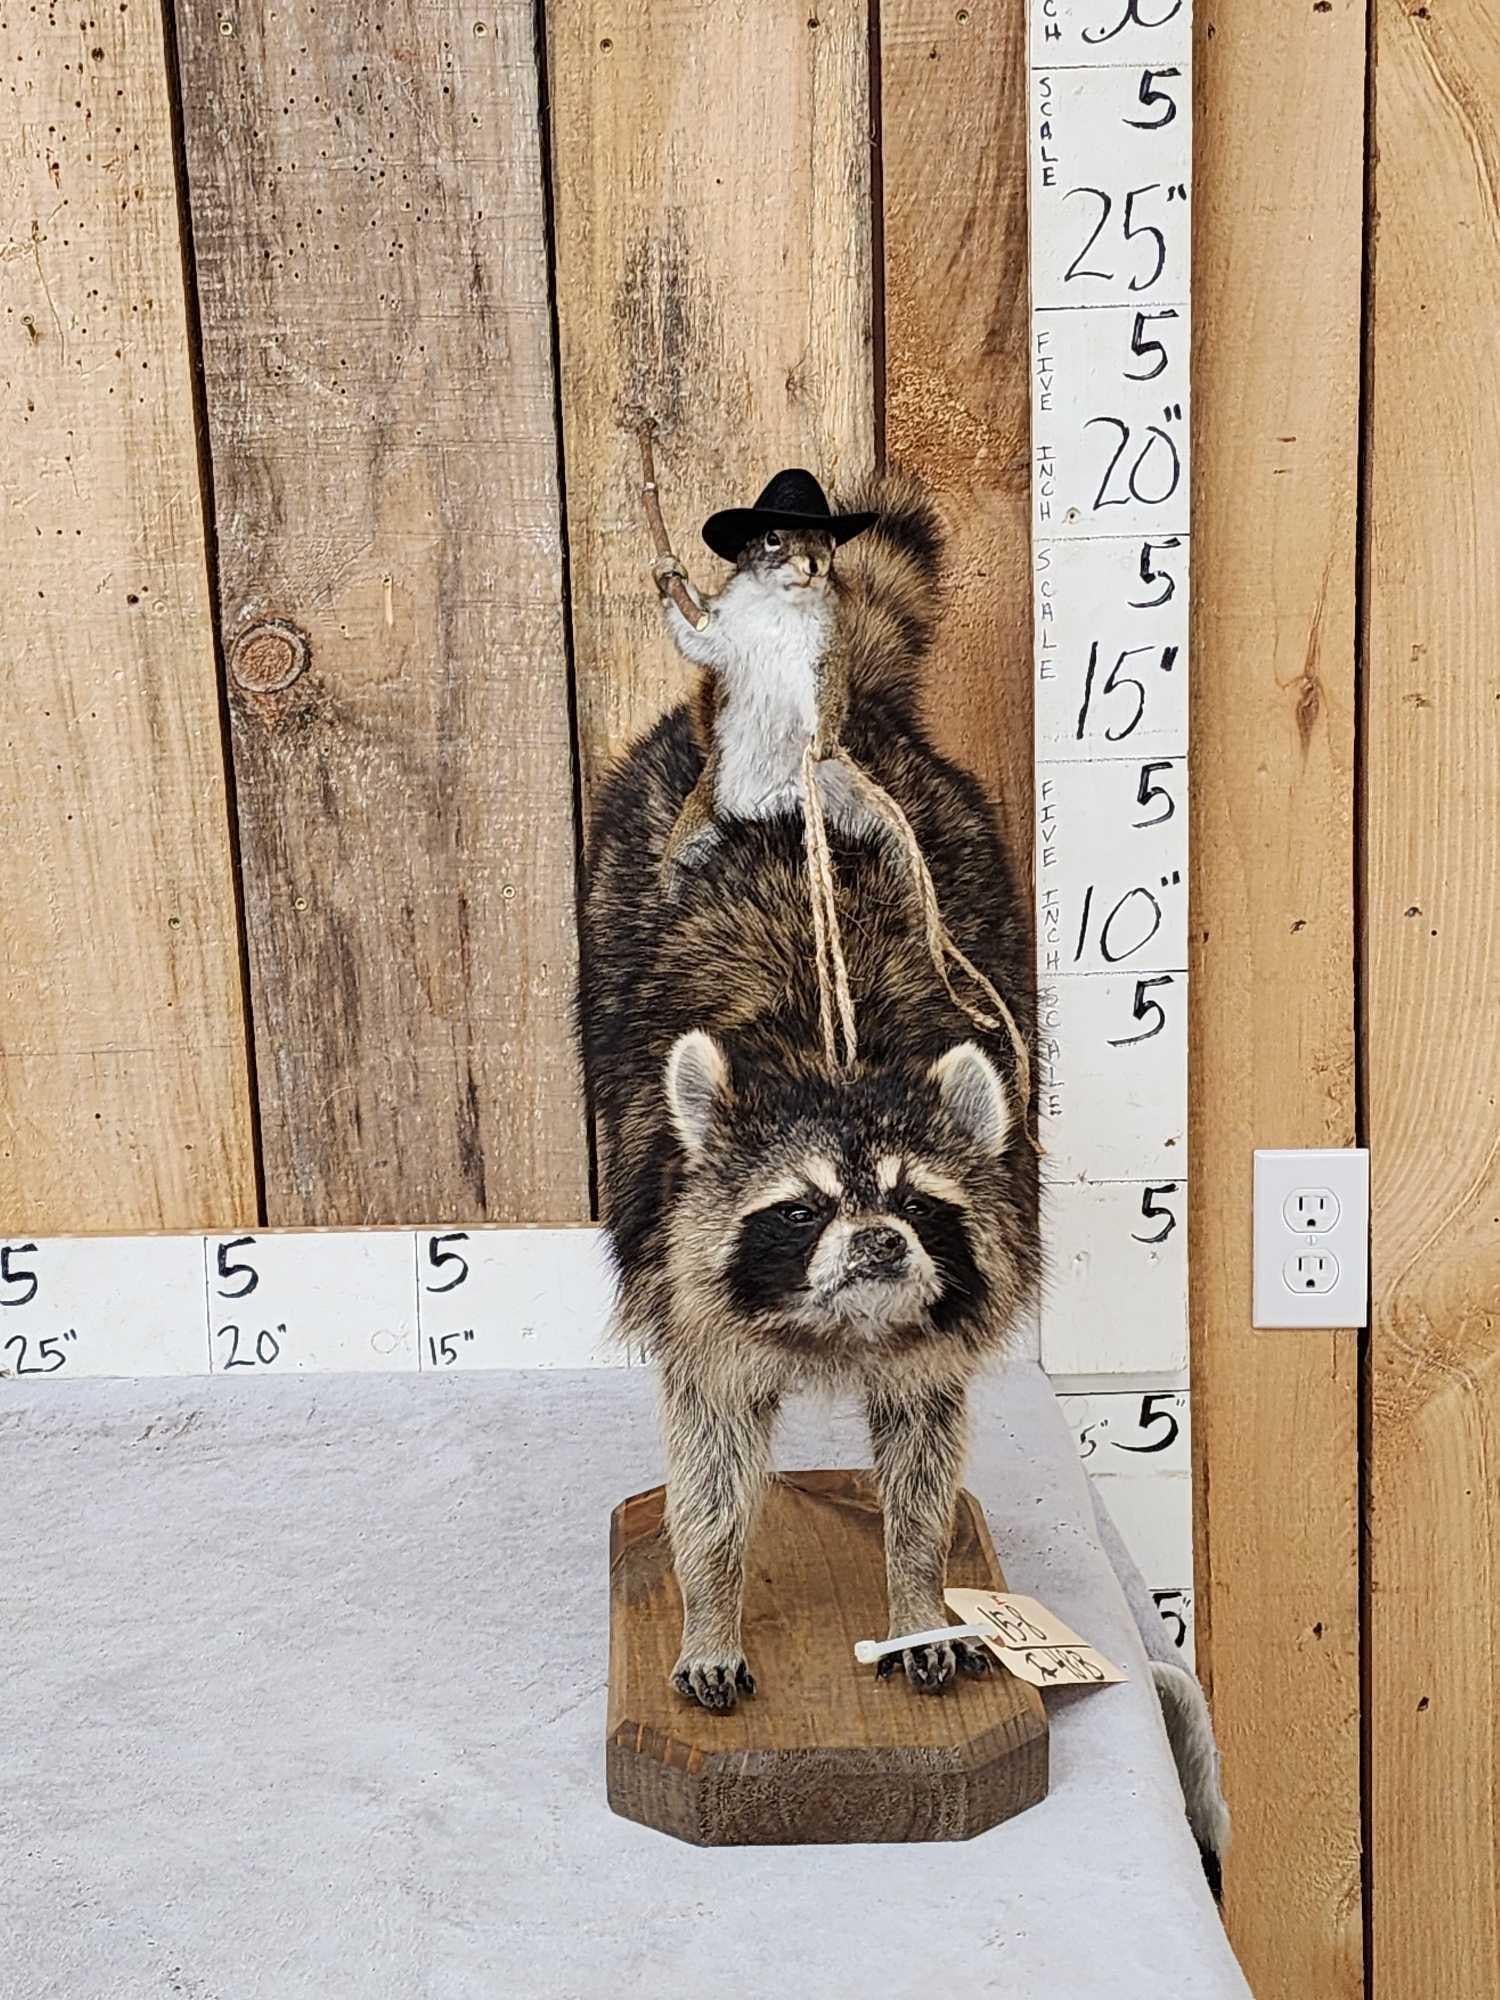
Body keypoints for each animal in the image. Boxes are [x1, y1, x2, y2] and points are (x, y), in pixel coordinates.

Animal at [579, 470, 1039, 1709]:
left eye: (917, 1200)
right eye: (804, 1205)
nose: (878, 1241)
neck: (837, 1056)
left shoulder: (948, 1309)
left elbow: (926, 1462)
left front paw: (920, 1594)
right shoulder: (684, 1283)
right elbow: (706, 1462)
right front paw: (708, 1601)